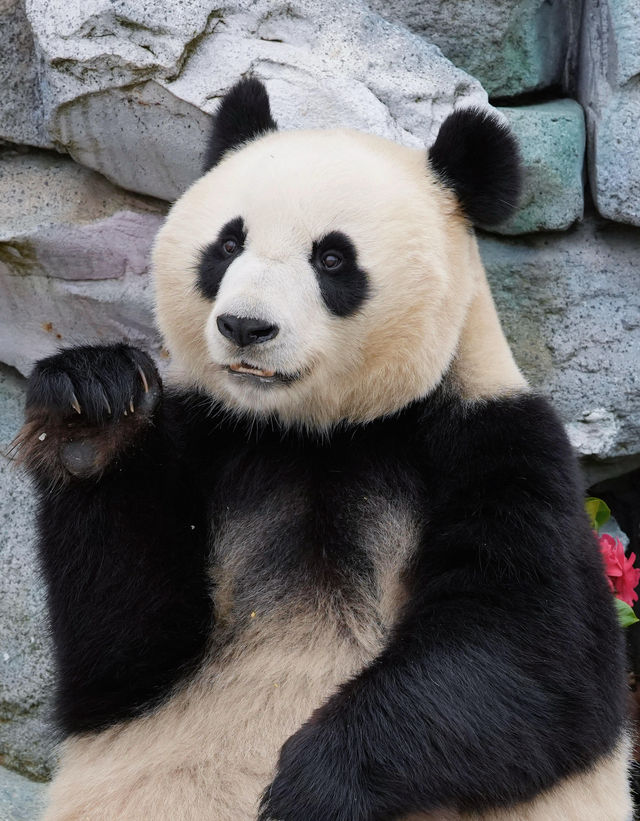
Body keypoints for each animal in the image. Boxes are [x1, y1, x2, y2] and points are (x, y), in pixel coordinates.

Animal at [17, 77, 631, 821]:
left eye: (332, 258)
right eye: (227, 244)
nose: (245, 326)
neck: (313, 432)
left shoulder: (498, 440)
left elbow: (535, 655)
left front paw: (313, 787)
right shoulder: (207, 436)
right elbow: (120, 653)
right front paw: (91, 409)